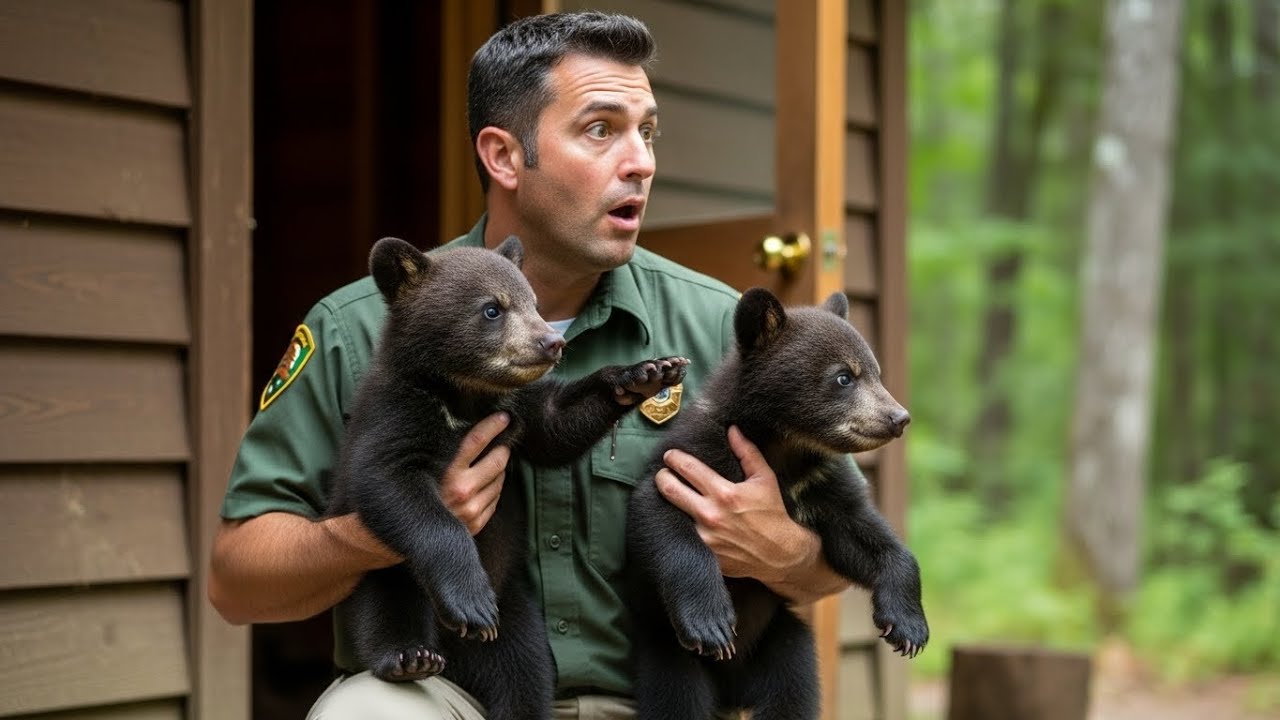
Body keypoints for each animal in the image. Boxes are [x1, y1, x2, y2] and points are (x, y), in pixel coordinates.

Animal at [327, 236, 688, 720]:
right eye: (492, 309)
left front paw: (647, 372)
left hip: (515, 611)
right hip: (379, 570)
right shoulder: (393, 415)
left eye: (534, 302)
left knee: (524, 672)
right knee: (383, 607)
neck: (463, 397)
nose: (551, 342)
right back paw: (410, 655)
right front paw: (469, 601)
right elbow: (391, 484)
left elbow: (558, 425)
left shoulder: (516, 409)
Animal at [624, 287, 928, 720]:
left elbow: (863, 535)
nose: (898, 417)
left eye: (877, 373)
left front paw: (908, 626)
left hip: (785, 643)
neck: (785, 452)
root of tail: (732, 693)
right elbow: (661, 515)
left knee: (793, 694)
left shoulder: (824, 487)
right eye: (844, 376)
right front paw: (710, 622)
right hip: (666, 651)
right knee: (675, 700)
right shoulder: (695, 459)